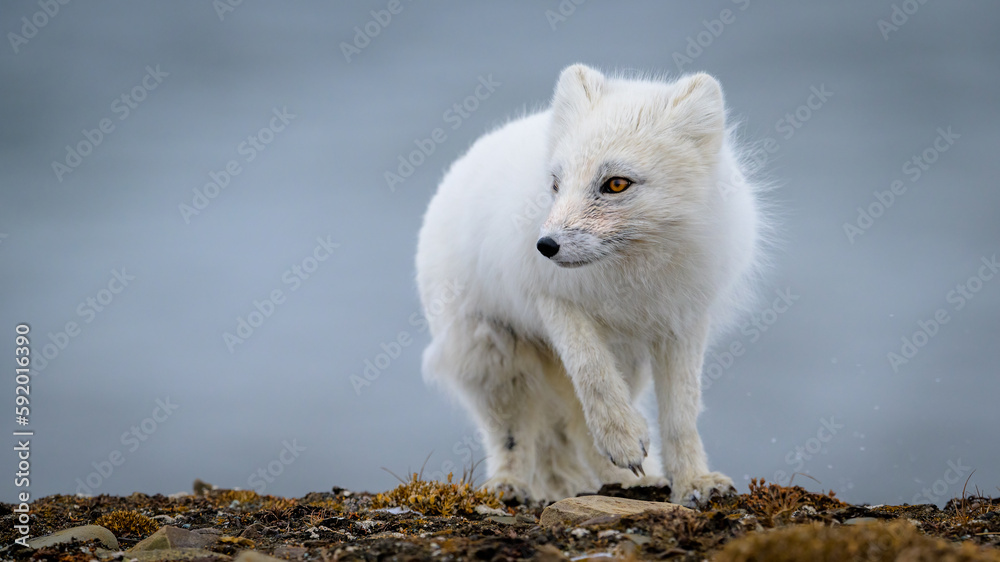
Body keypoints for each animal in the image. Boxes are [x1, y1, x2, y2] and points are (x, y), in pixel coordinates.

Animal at [415, 64, 765, 505]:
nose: (545, 246)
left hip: (627, 363)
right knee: (515, 434)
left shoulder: (682, 321)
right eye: (555, 184)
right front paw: (624, 440)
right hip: (495, 356)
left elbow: (681, 414)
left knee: (574, 432)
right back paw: (511, 486)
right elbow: (592, 373)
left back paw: (630, 481)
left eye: (616, 184)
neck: (632, 275)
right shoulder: (553, 301)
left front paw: (694, 482)